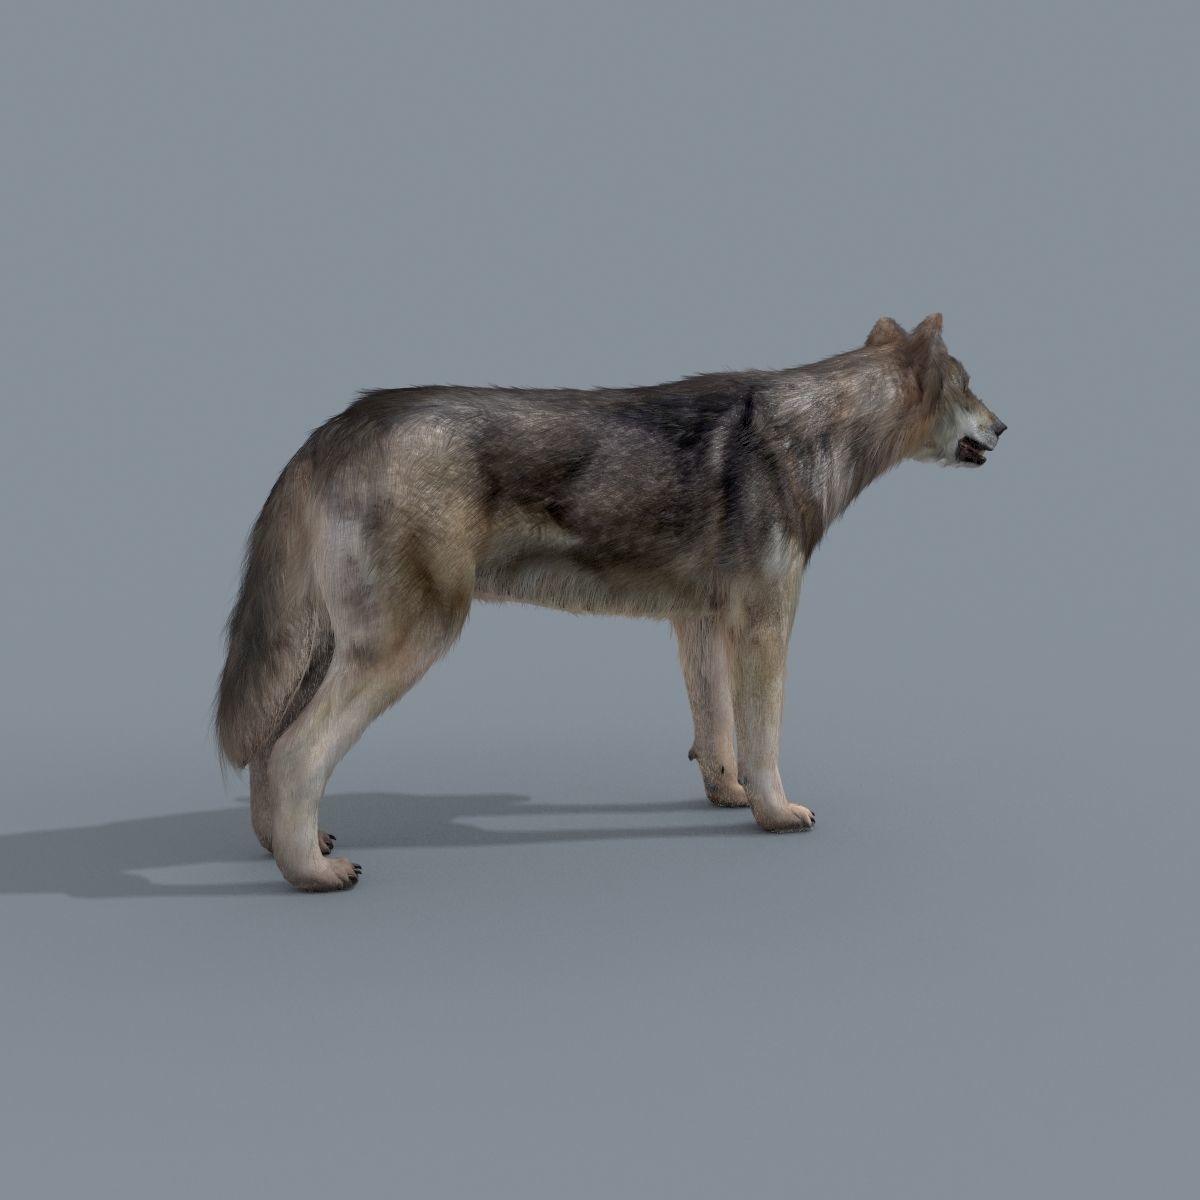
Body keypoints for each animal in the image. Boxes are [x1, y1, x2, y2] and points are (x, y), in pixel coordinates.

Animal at [214, 313, 1005, 892]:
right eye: (969, 388)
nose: (1004, 426)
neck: (814, 434)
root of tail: (334, 429)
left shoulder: (701, 624)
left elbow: (718, 736)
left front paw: (729, 798)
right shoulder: (764, 626)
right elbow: (764, 739)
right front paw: (776, 813)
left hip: (327, 651)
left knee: (267, 754)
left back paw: (287, 849)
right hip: (406, 646)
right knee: (295, 754)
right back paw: (313, 874)